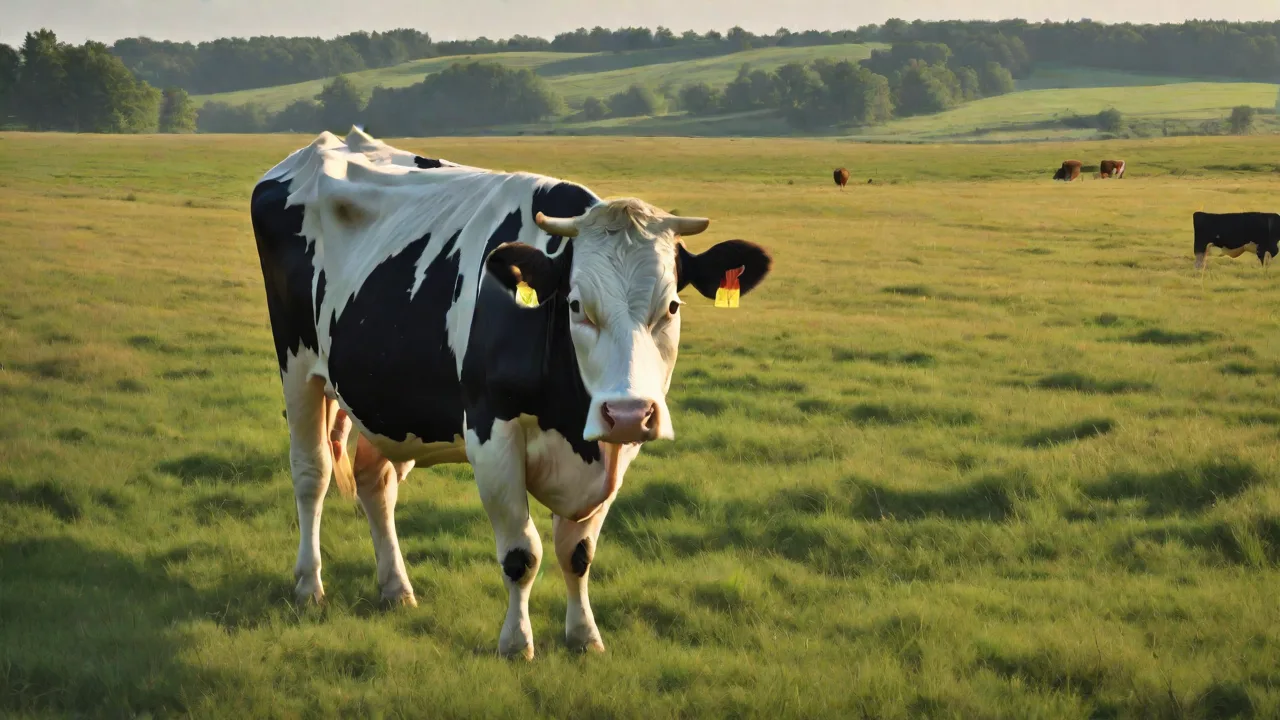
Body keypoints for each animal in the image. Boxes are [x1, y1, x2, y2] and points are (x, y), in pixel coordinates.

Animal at [250, 129, 772, 659]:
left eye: (672, 306)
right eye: (576, 305)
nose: (628, 413)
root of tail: (324, 144)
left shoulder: (614, 453)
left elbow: (577, 553)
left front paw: (584, 636)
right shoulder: (491, 434)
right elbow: (523, 552)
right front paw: (517, 642)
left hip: (386, 399)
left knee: (376, 483)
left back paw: (395, 588)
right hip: (297, 365)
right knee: (311, 474)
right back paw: (309, 585)